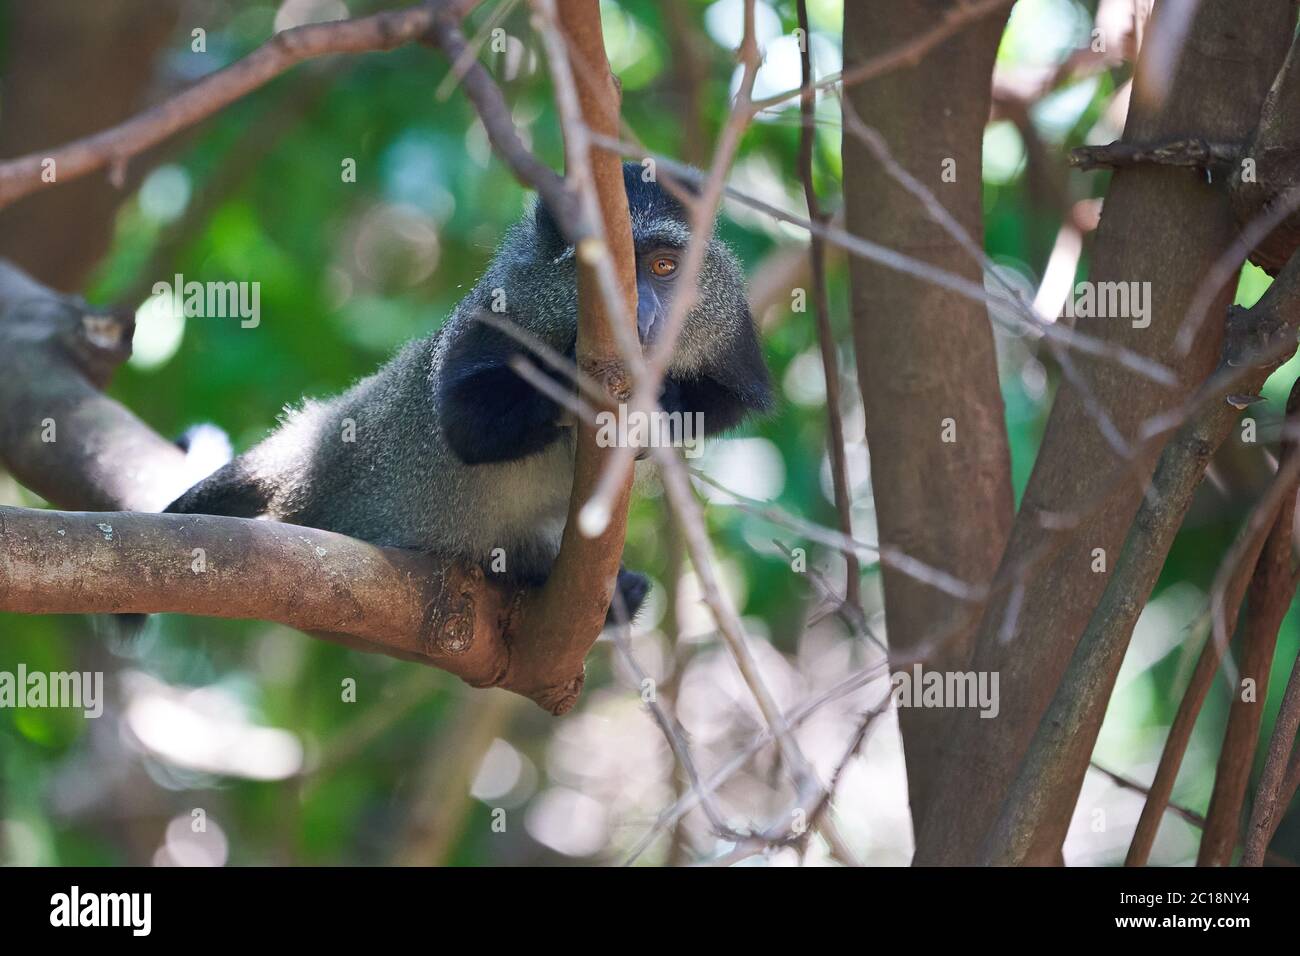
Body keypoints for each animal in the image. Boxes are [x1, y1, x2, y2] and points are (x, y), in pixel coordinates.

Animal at [163, 163, 774, 624]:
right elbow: (462, 424)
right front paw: (574, 386)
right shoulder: (499, 306)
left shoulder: (728, 321)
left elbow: (735, 397)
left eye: (664, 266)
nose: (639, 314)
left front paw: (663, 406)